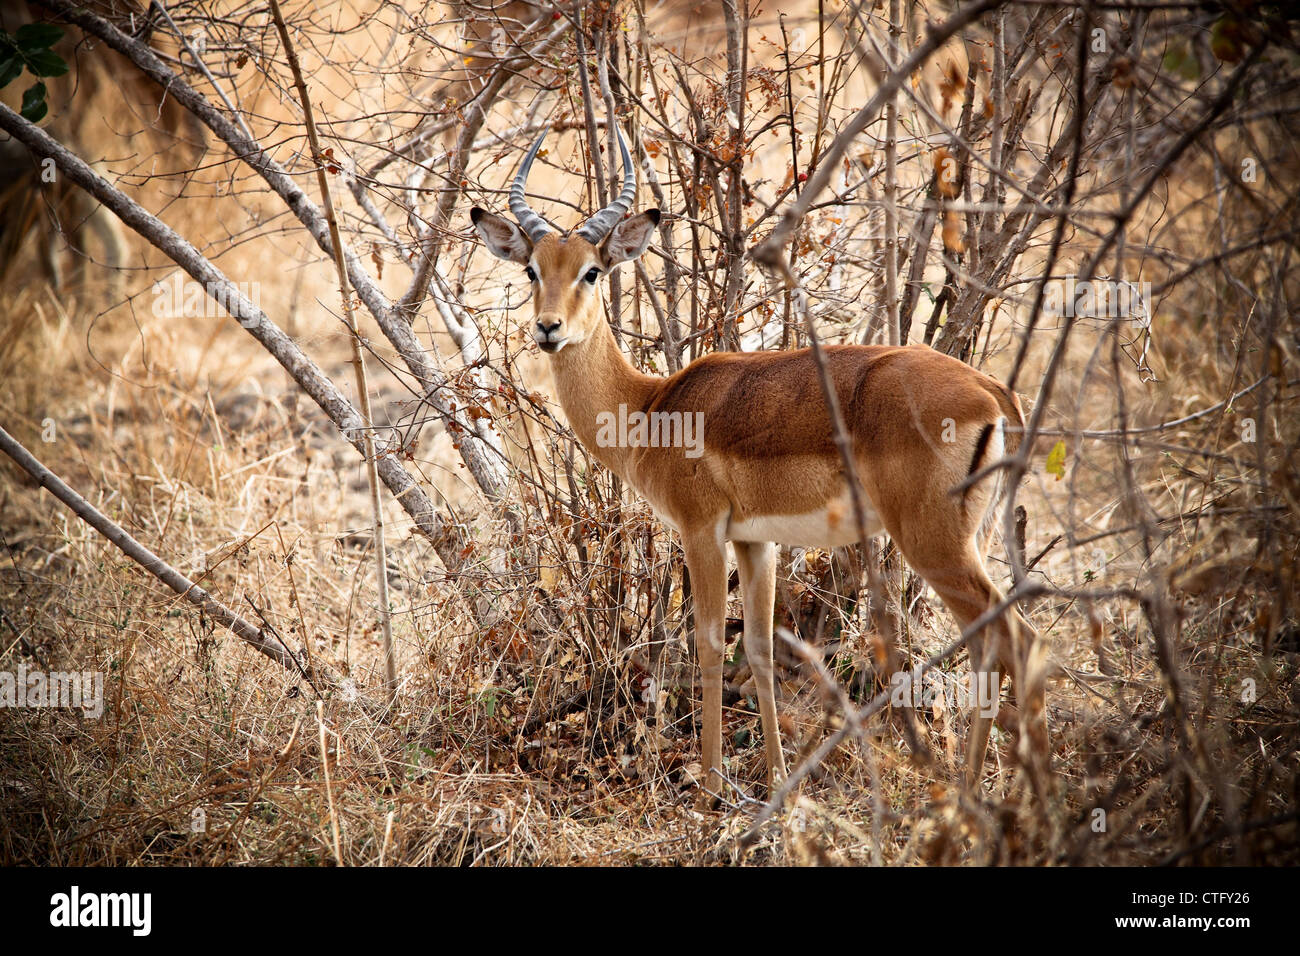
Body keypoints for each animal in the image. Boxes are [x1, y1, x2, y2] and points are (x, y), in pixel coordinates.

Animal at [471, 128, 1040, 797]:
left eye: (591, 270)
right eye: (532, 269)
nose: (548, 328)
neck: (652, 406)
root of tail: (992, 393)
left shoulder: (701, 529)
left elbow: (711, 642)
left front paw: (713, 783)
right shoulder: (756, 540)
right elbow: (763, 651)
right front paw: (775, 776)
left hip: (934, 541)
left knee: (1014, 640)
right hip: (966, 539)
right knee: (992, 644)